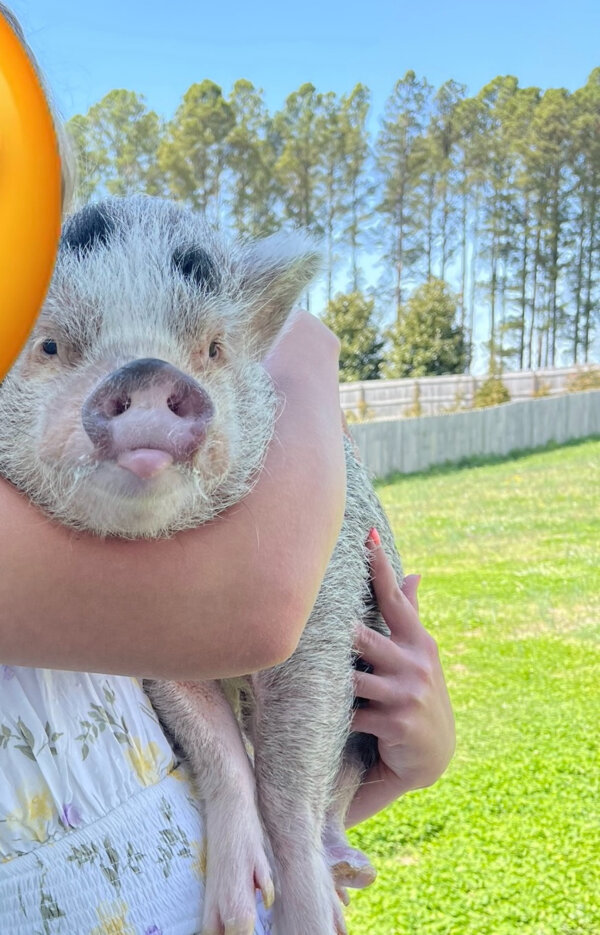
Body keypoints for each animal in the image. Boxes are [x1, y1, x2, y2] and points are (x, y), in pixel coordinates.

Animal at [0, 196, 402, 935]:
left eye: (214, 348)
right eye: (49, 346)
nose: (146, 372)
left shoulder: (326, 602)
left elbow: (291, 764)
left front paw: (302, 919)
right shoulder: (155, 638)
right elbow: (215, 740)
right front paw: (235, 916)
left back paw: (348, 874)